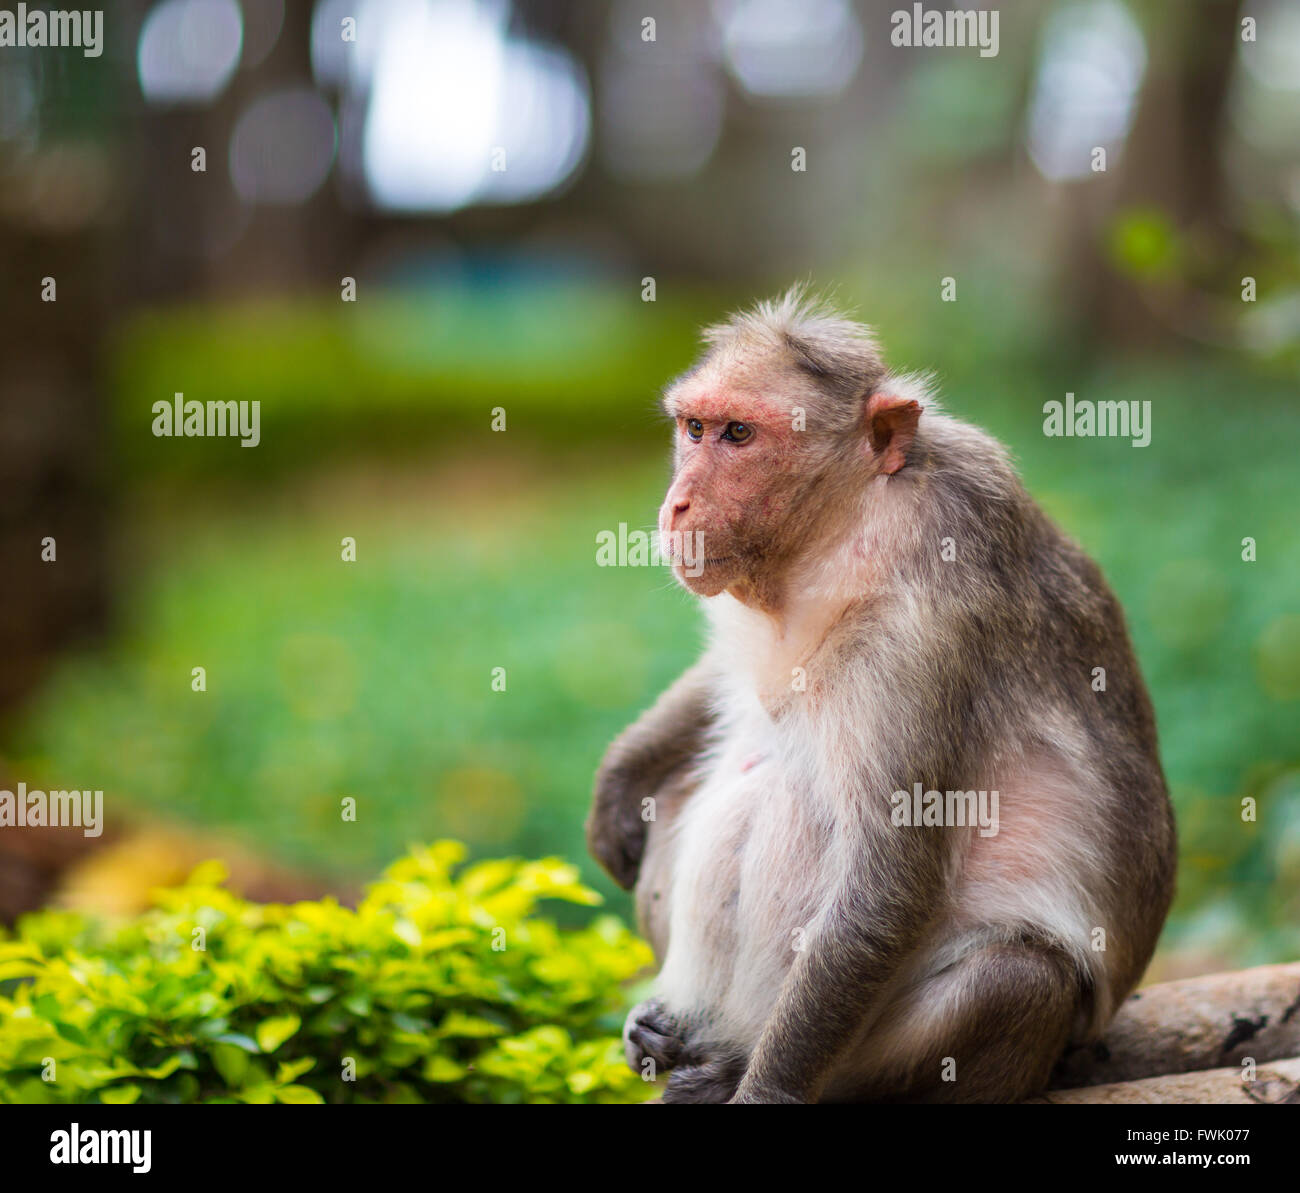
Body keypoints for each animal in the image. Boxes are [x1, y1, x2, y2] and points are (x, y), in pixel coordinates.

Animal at [586, 289, 1176, 1104]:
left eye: (740, 434)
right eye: (695, 428)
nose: (676, 505)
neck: (840, 533)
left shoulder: (923, 630)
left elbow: (885, 890)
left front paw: (760, 1092)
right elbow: (723, 677)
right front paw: (622, 774)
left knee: (1017, 977)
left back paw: (729, 1068)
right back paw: (667, 1030)